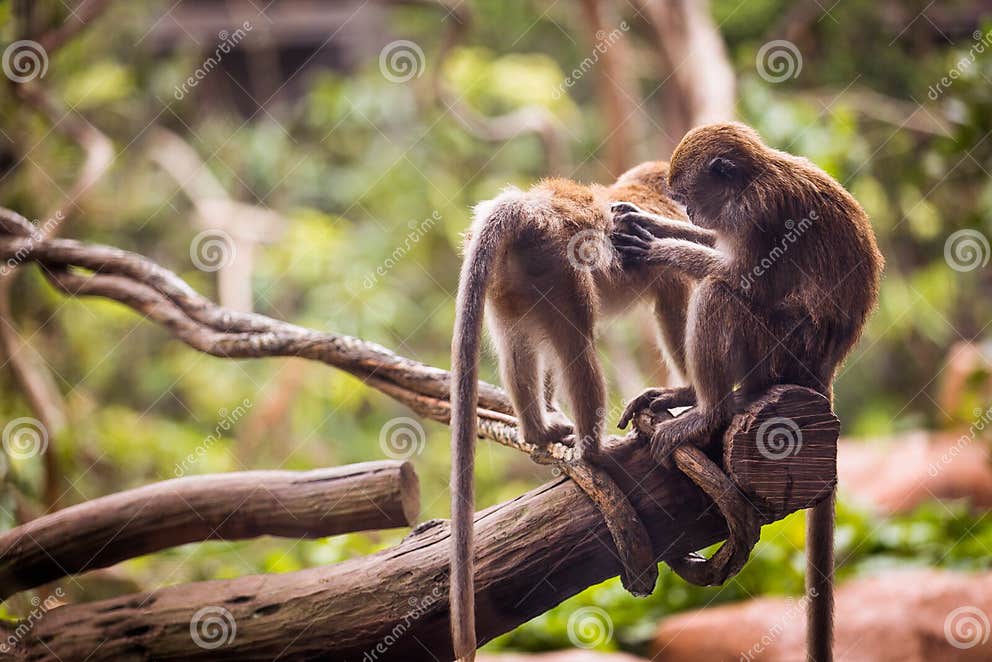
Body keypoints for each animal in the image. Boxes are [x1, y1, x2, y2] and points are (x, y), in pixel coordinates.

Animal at [449, 161, 706, 661]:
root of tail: (527, 207)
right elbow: (673, 301)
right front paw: (689, 393)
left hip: (508, 284)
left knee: (519, 345)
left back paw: (538, 430)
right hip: (558, 265)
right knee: (577, 343)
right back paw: (595, 453)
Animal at [612, 122, 883, 662]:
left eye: (688, 196)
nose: (691, 214)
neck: (756, 173)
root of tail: (822, 368)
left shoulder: (758, 212)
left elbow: (742, 276)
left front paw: (657, 248)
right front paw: (646, 222)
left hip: (778, 348)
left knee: (720, 292)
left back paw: (709, 410)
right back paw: (689, 394)